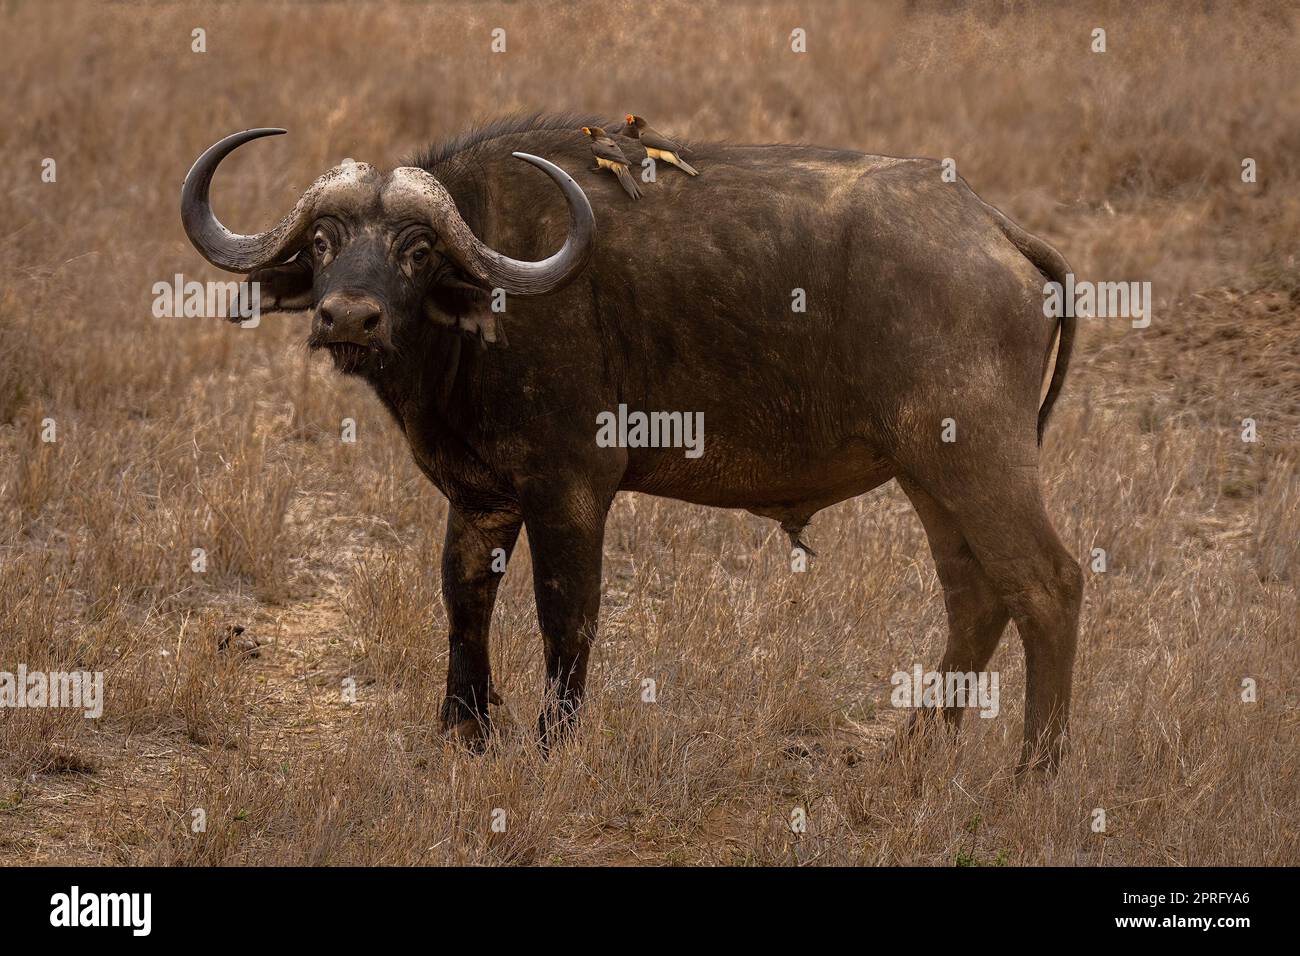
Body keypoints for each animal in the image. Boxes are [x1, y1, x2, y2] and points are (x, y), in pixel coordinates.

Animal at [180, 113, 1081, 771]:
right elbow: (464, 601)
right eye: (323, 241)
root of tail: (992, 227)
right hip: (929, 472)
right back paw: (917, 748)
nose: (349, 317)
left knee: (1048, 585)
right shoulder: (479, 497)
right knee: (975, 594)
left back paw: (1032, 771)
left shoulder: (572, 489)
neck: (488, 304)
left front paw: (554, 745)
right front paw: (462, 732)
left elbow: (565, 613)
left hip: (978, 458)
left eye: (418, 247)